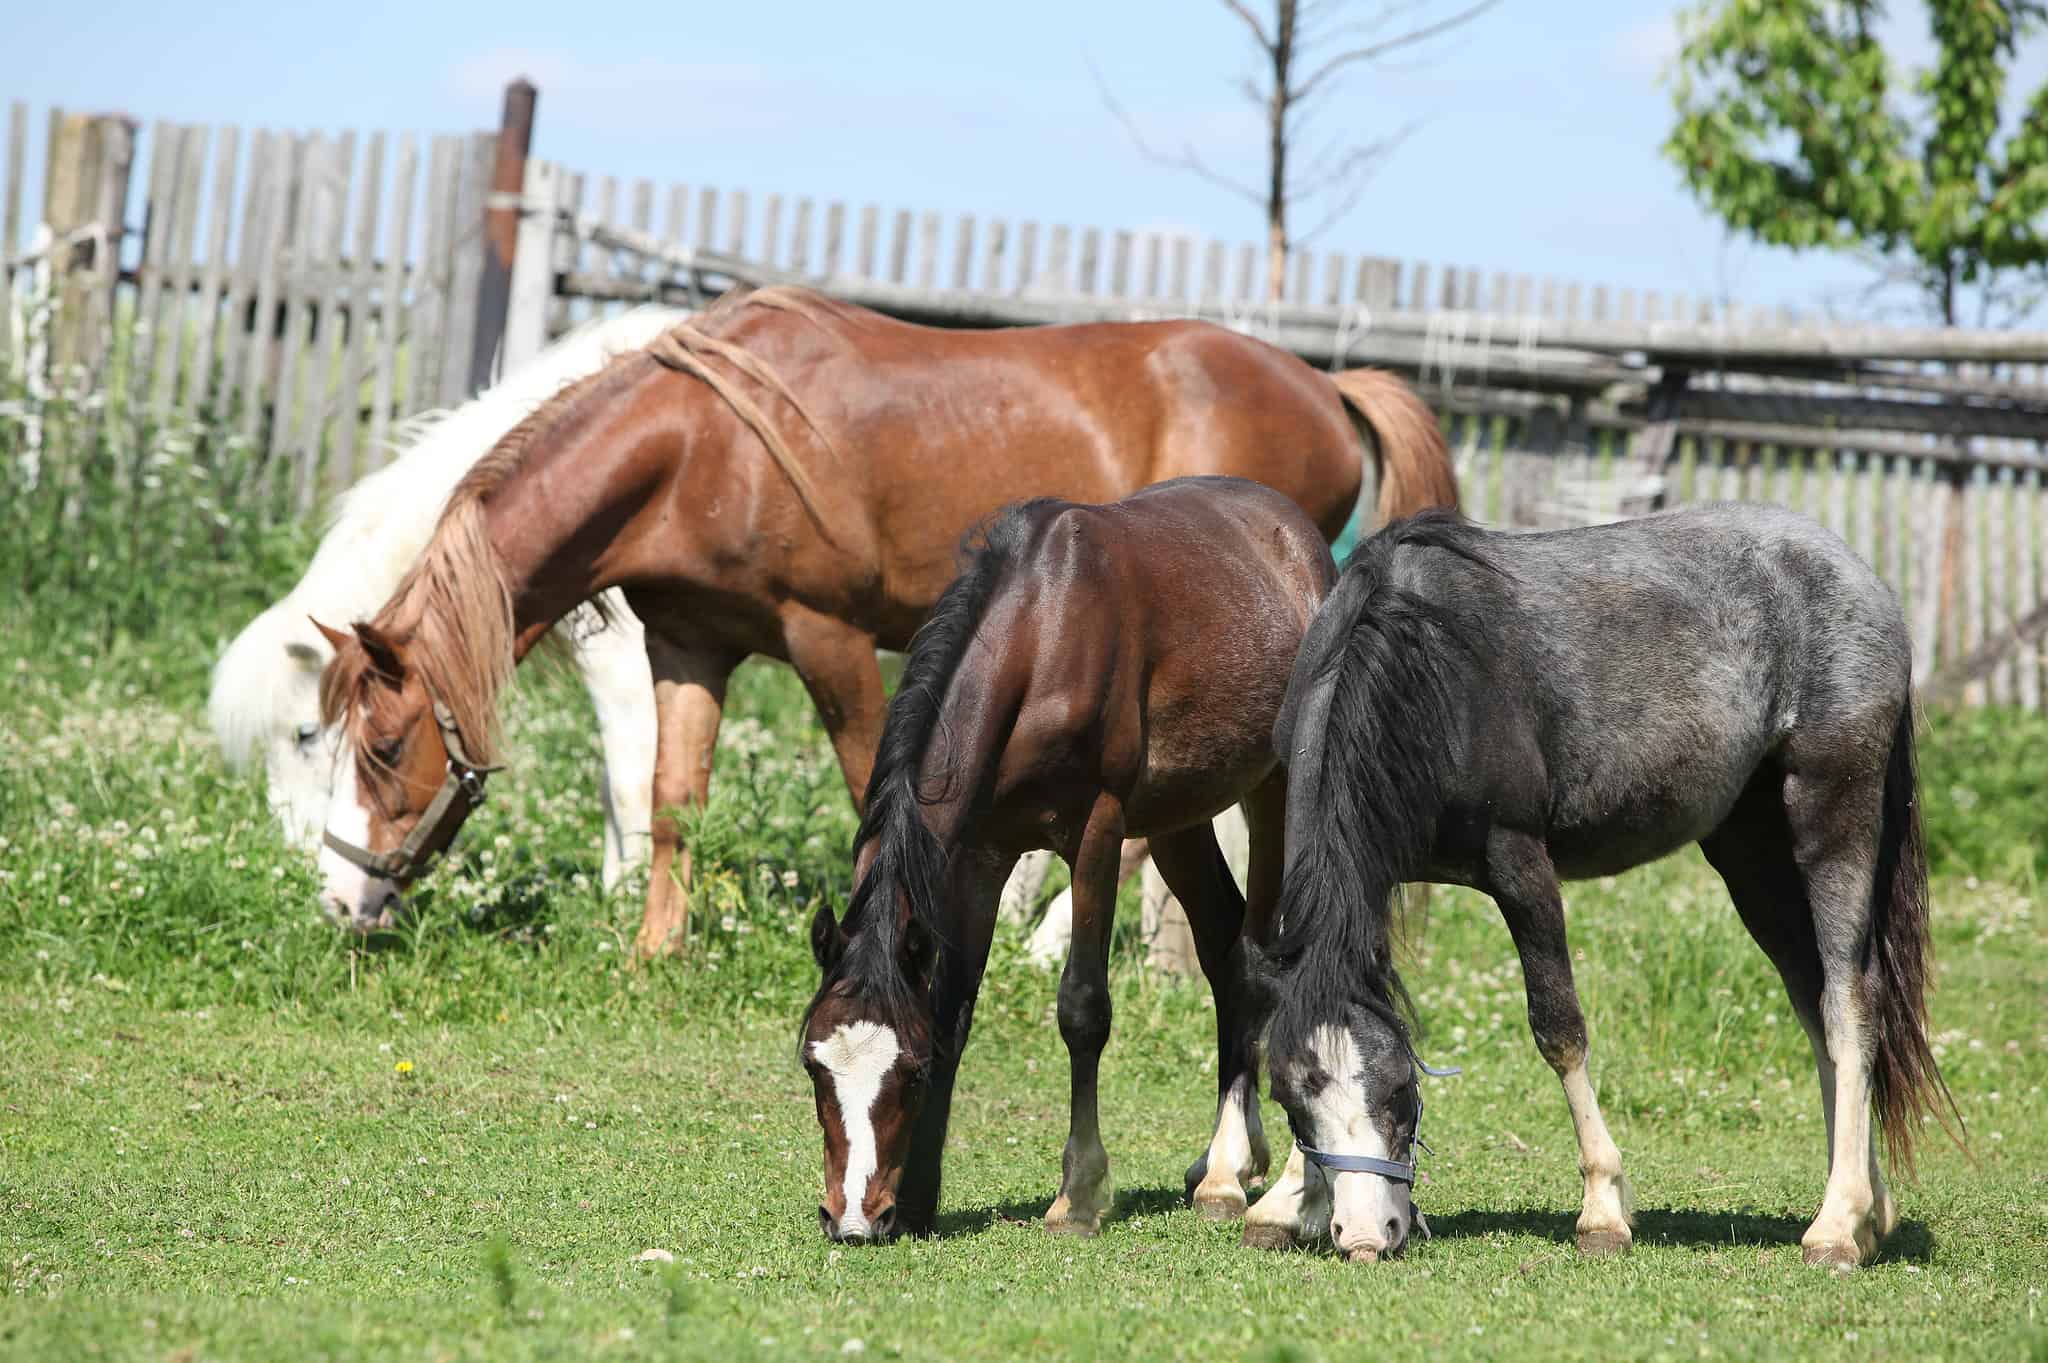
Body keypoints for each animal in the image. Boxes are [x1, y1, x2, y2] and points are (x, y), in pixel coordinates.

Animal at [310, 285, 1456, 952]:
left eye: (386, 746)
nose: (336, 896)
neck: (704, 442)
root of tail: (1323, 383)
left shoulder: (829, 638)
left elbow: (873, 784)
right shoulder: (690, 645)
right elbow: (674, 800)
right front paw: (653, 951)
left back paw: (1042, 945)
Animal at [801, 477, 1335, 1242]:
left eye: (907, 1071)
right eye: (814, 1067)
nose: (850, 1216)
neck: (1041, 632)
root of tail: (1298, 536)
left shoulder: (1097, 831)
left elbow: (1083, 1008)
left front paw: (1077, 1195)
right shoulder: (979, 859)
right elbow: (954, 1007)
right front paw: (922, 1198)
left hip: (1275, 790)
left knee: (1271, 960)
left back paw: (1271, 1178)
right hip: (1178, 817)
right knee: (1227, 952)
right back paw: (1222, 1170)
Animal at [1242, 505, 1959, 1268]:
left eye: (1399, 1088)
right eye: (1291, 1101)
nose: (1366, 1236)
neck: (1425, 665)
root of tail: (1857, 574)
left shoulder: (1519, 866)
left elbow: (1559, 1031)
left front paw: (1602, 1209)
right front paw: (1285, 1200)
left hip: (1831, 815)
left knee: (1851, 1001)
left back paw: (1837, 1223)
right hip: (1752, 851)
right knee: (1814, 998)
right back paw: (1869, 1211)